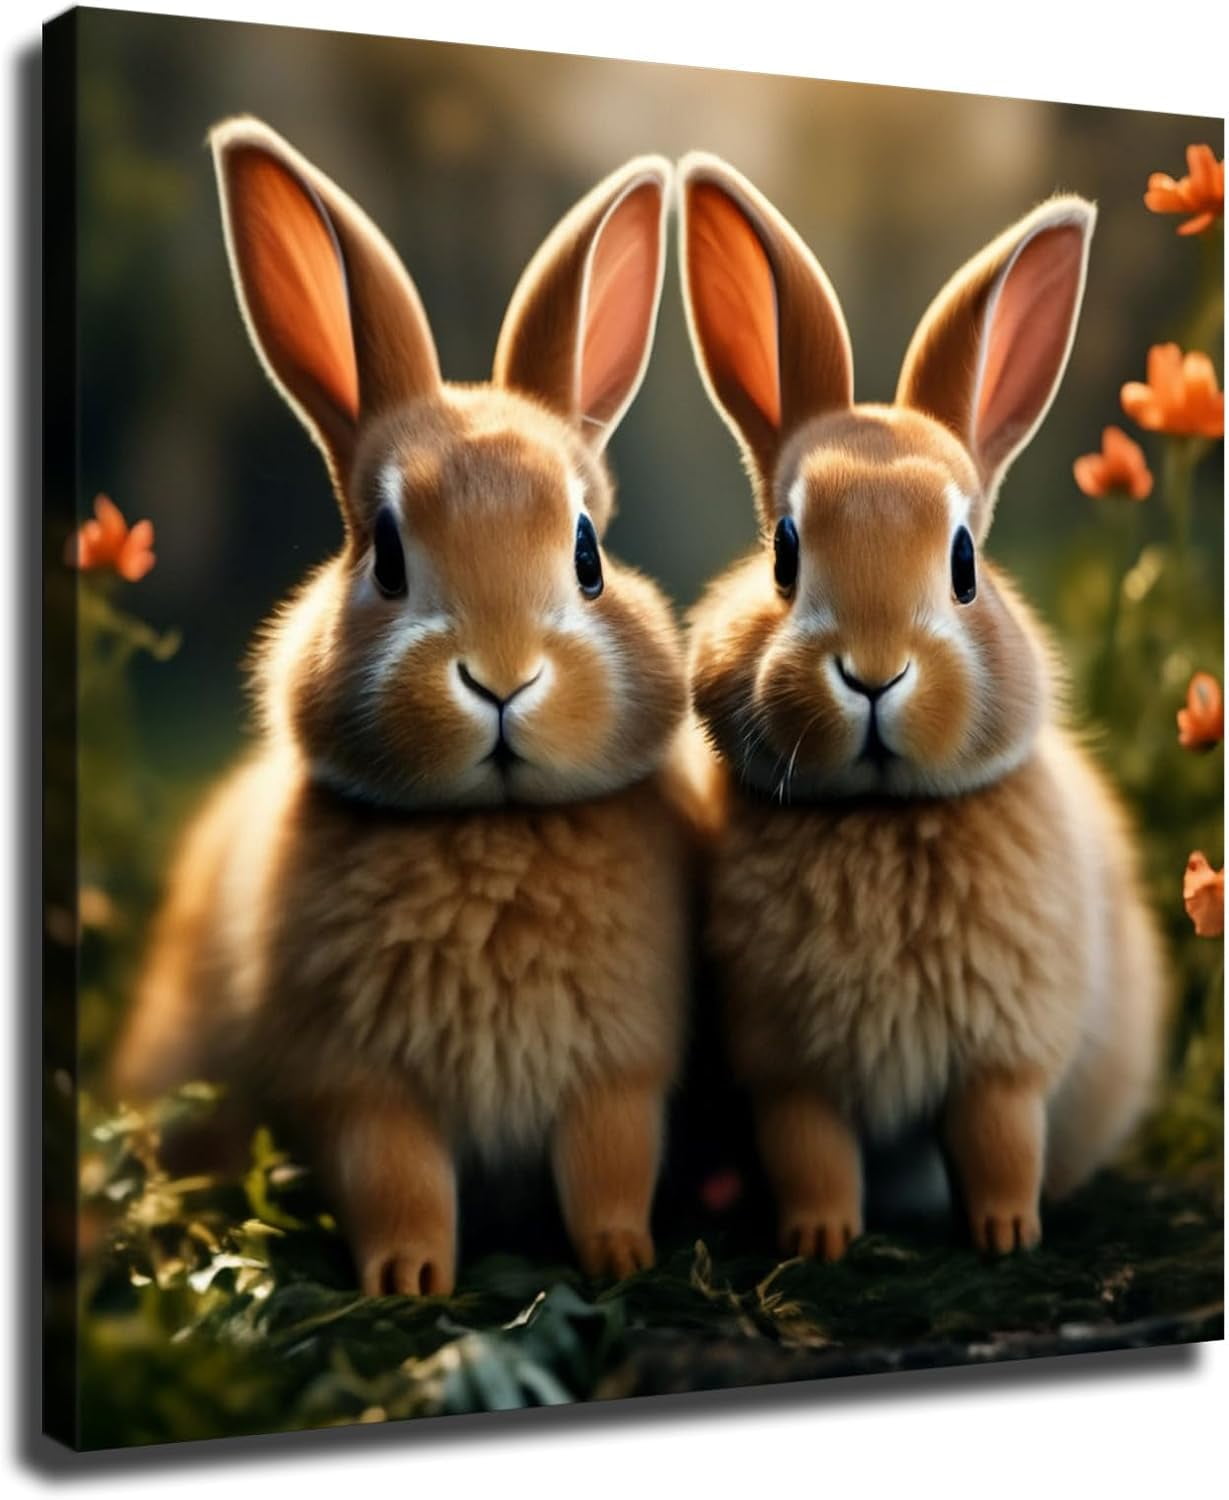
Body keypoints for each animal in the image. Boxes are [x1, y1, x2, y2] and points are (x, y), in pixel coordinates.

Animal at [113, 118, 698, 1296]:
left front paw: (619, 1258)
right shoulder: (357, 1091)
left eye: (587, 554)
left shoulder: (619, 1076)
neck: (489, 835)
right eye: (385, 557)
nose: (502, 678)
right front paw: (409, 1281)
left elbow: (608, 1165)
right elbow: (397, 1180)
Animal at [675, 153, 1168, 1259]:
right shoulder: (789, 1077)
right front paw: (817, 1242)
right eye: (784, 555)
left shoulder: (1002, 1060)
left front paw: (1004, 1236)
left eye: (963, 563)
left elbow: (997, 1140)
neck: (876, 816)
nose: (871, 673)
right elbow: (811, 1156)